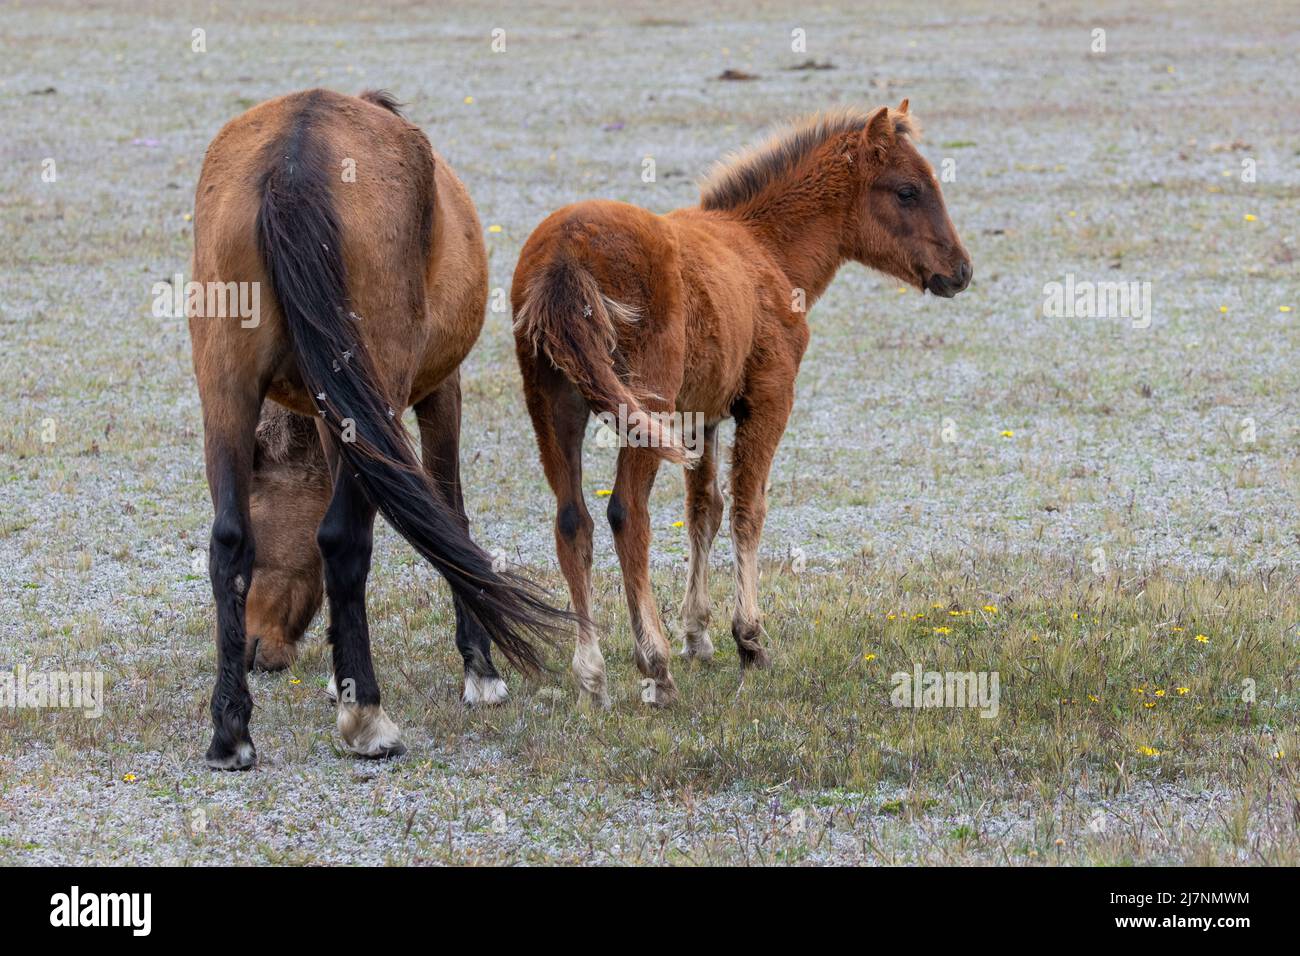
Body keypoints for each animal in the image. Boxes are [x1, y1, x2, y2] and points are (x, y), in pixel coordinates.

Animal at [188, 88, 564, 769]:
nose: (256, 647)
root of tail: (294, 158)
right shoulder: (441, 390)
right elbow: (450, 511)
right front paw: (481, 670)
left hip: (226, 390)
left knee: (228, 542)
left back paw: (231, 732)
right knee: (343, 540)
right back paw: (367, 717)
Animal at [512, 101, 971, 708]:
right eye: (907, 191)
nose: (960, 271)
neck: (764, 246)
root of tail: (566, 254)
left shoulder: (698, 417)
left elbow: (703, 510)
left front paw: (698, 634)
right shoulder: (769, 397)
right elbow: (749, 511)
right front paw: (748, 639)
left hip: (554, 407)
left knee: (572, 521)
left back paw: (592, 674)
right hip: (643, 406)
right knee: (626, 515)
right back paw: (654, 666)